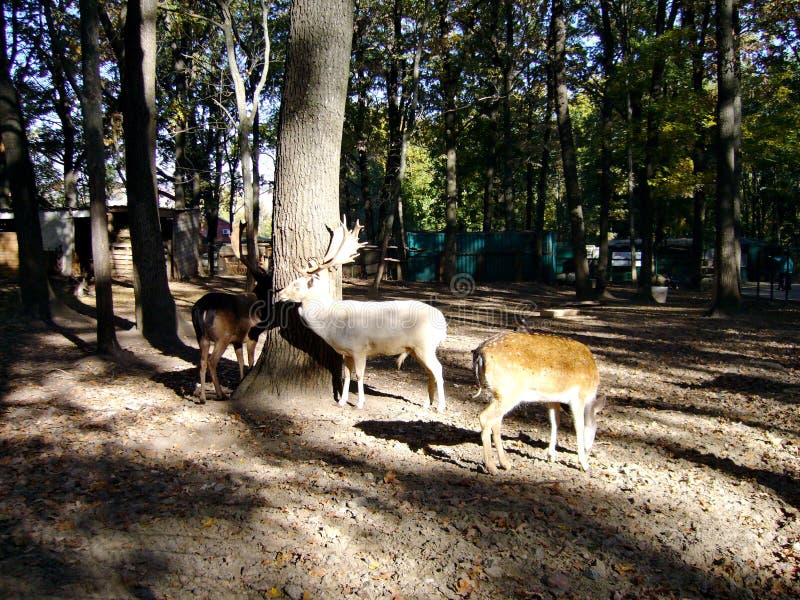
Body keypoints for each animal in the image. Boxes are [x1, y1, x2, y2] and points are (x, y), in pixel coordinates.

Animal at [191, 220, 274, 403]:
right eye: (270, 281)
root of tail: (202, 307)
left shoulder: (237, 340)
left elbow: (240, 362)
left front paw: (240, 382)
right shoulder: (252, 334)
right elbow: (250, 361)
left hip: (202, 336)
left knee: (202, 361)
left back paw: (203, 397)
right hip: (222, 335)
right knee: (212, 361)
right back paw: (220, 394)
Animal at [275, 216, 447, 412]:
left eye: (297, 284)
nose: (280, 294)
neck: (332, 324)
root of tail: (443, 322)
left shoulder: (359, 347)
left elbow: (359, 374)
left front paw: (359, 403)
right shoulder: (347, 352)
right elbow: (347, 374)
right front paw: (342, 401)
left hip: (425, 345)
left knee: (438, 369)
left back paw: (440, 407)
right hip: (416, 349)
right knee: (430, 371)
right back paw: (427, 403)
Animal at [472, 331, 604, 473]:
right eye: (596, 430)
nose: (589, 450)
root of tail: (480, 352)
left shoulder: (553, 399)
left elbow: (555, 422)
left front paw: (551, 456)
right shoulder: (578, 397)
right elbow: (579, 426)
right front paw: (585, 465)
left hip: (497, 393)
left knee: (496, 422)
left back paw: (505, 464)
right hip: (508, 391)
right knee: (485, 417)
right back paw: (491, 467)